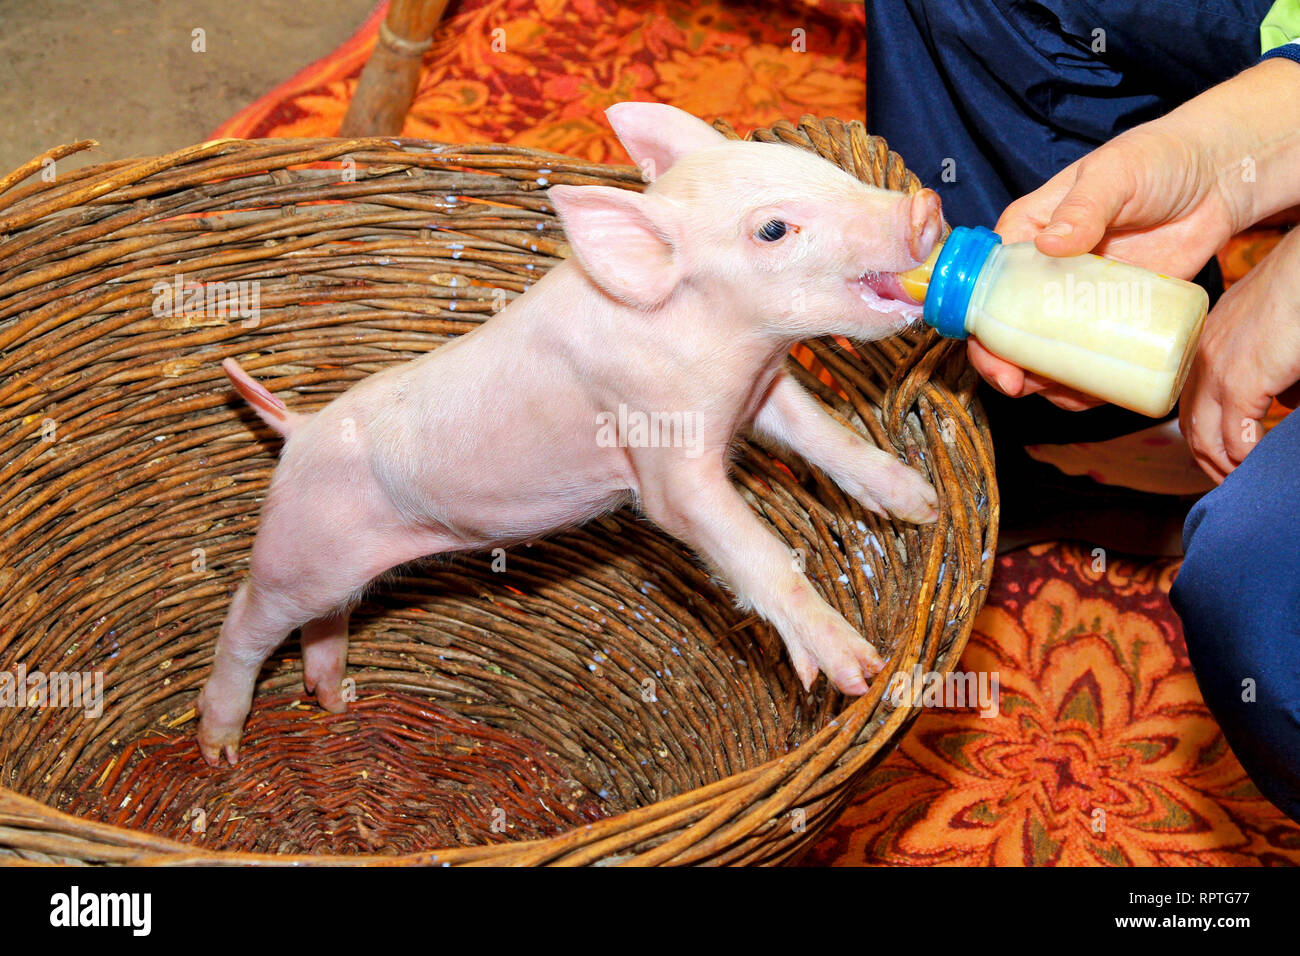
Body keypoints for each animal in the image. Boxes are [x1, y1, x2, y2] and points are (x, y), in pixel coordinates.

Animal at [196, 101, 944, 766]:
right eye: (774, 231)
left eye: (824, 169)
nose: (926, 207)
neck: (724, 342)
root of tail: (297, 430)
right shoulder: (663, 454)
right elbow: (745, 545)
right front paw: (858, 671)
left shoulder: (761, 394)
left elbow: (823, 433)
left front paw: (922, 503)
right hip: (297, 555)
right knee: (243, 618)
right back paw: (219, 748)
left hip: (332, 576)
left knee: (325, 618)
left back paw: (332, 697)